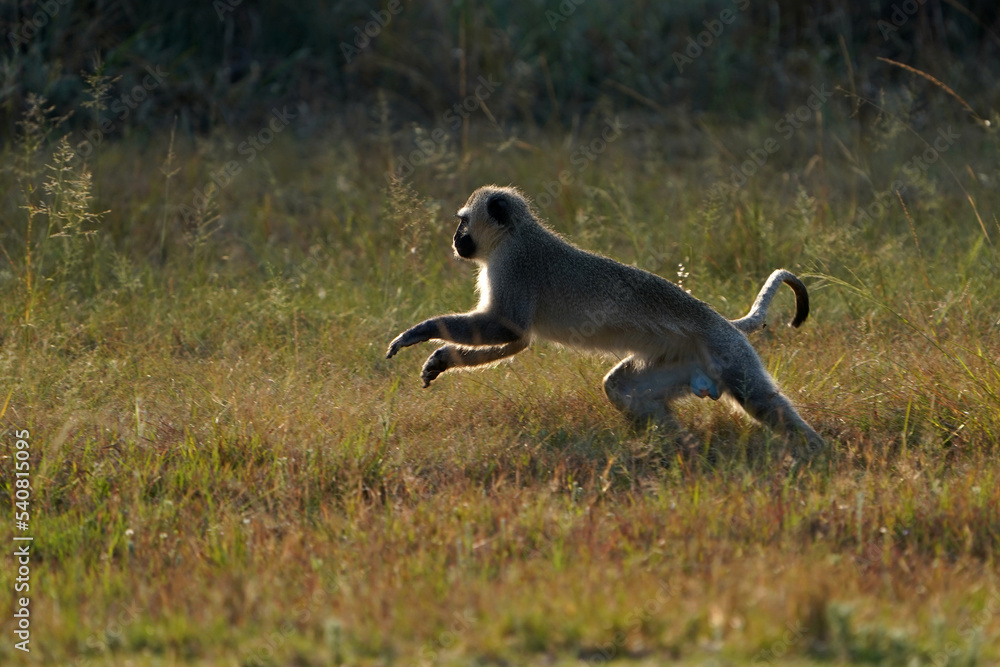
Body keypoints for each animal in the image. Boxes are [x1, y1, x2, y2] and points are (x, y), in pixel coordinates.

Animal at [386, 185, 824, 456]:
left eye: (463, 221)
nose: (455, 239)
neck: (513, 235)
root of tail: (726, 324)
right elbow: (516, 340)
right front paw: (442, 358)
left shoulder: (513, 268)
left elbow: (507, 329)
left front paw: (422, 332)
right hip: (685, 362)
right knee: (622, 388)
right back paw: (680, 450)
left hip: (725, 352)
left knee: (761, 400)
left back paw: (817, 452)